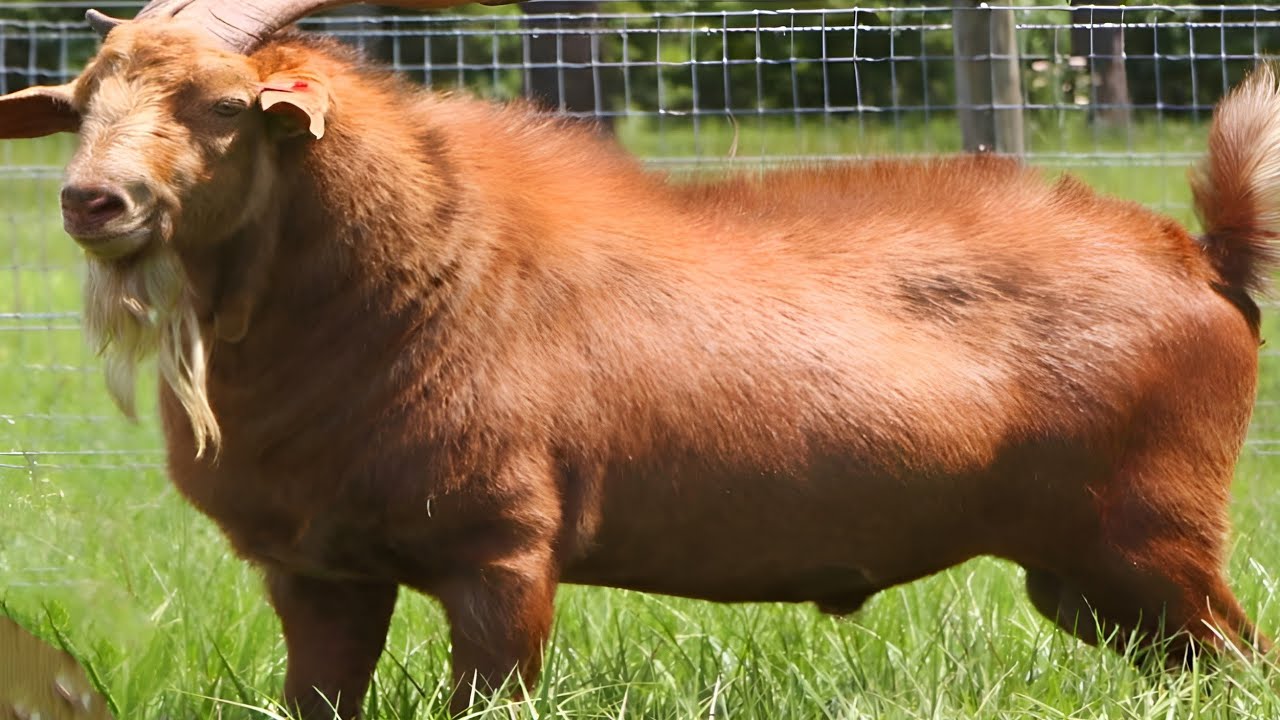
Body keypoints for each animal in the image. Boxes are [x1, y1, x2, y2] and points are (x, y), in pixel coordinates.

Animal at [1, 15, 1277, 719]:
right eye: (81, 102)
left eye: (224, 107)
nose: (92, 200)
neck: (411, 279)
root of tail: (1201, 253)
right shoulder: (315, 571)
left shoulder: (502, 547)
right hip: (1081, 574)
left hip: (1151, 533)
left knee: (1242, 665)